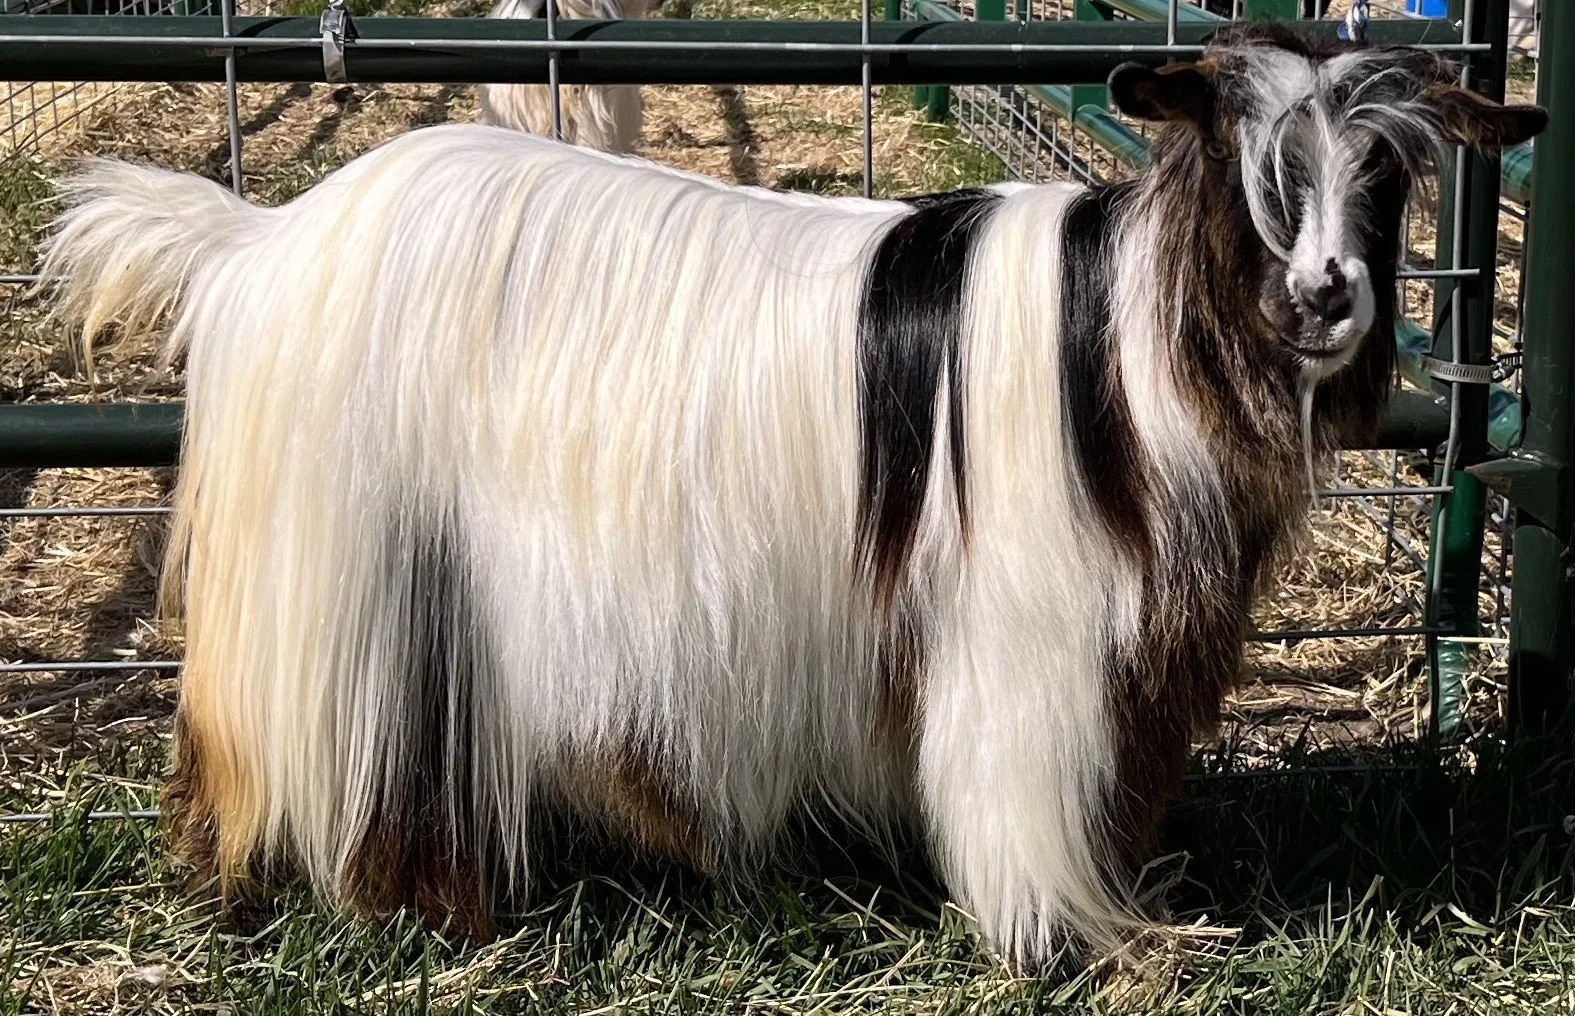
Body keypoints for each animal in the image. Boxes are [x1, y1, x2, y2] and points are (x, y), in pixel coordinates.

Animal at [39, 24, 1544, 969]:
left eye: (1386, 173)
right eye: (1249, 164)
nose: (1325, 298)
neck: (1122, 352)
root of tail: (259, 243)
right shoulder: (1029, 648)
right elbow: (1017, 799)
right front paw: (1067, 946)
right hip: (343, 587)